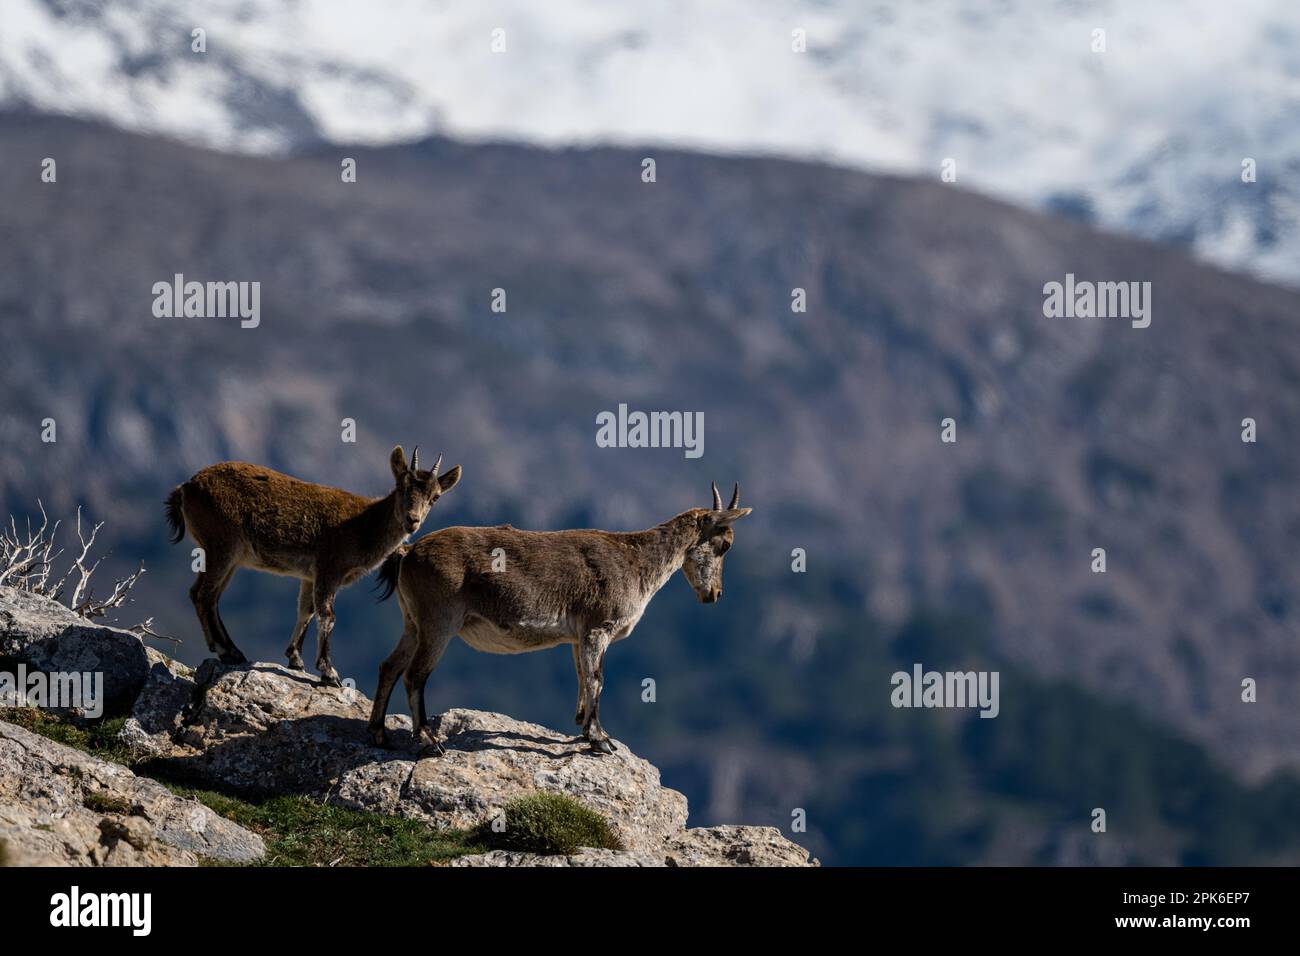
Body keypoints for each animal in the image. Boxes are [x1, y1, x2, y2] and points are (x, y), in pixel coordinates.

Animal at [165, 446, 461, 684]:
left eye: (435, 497)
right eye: (401, 487)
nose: (412, 520)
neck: (365, 525)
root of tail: (185, 488)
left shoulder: (310, 575)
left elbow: (305, 610)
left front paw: (295, 659)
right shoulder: (329, 568)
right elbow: (327, 615)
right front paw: (329, 673)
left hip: (230, 556)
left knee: (211, 595)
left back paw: (232, 650)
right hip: (221, 544)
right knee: (201, 593)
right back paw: (227, 651)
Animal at [369, 482, 751, 753]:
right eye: (725, 544)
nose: (714, 594)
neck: (636, 561)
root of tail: (407, 553)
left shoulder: (579, 636)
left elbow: (582, 675)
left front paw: (582, 725)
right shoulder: (598, 626)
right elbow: (597, 678)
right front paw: (600, 740)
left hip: (413, 621)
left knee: (389, 666)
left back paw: (379, 734)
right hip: (439, 621)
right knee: (415, 674)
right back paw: (428, 741)